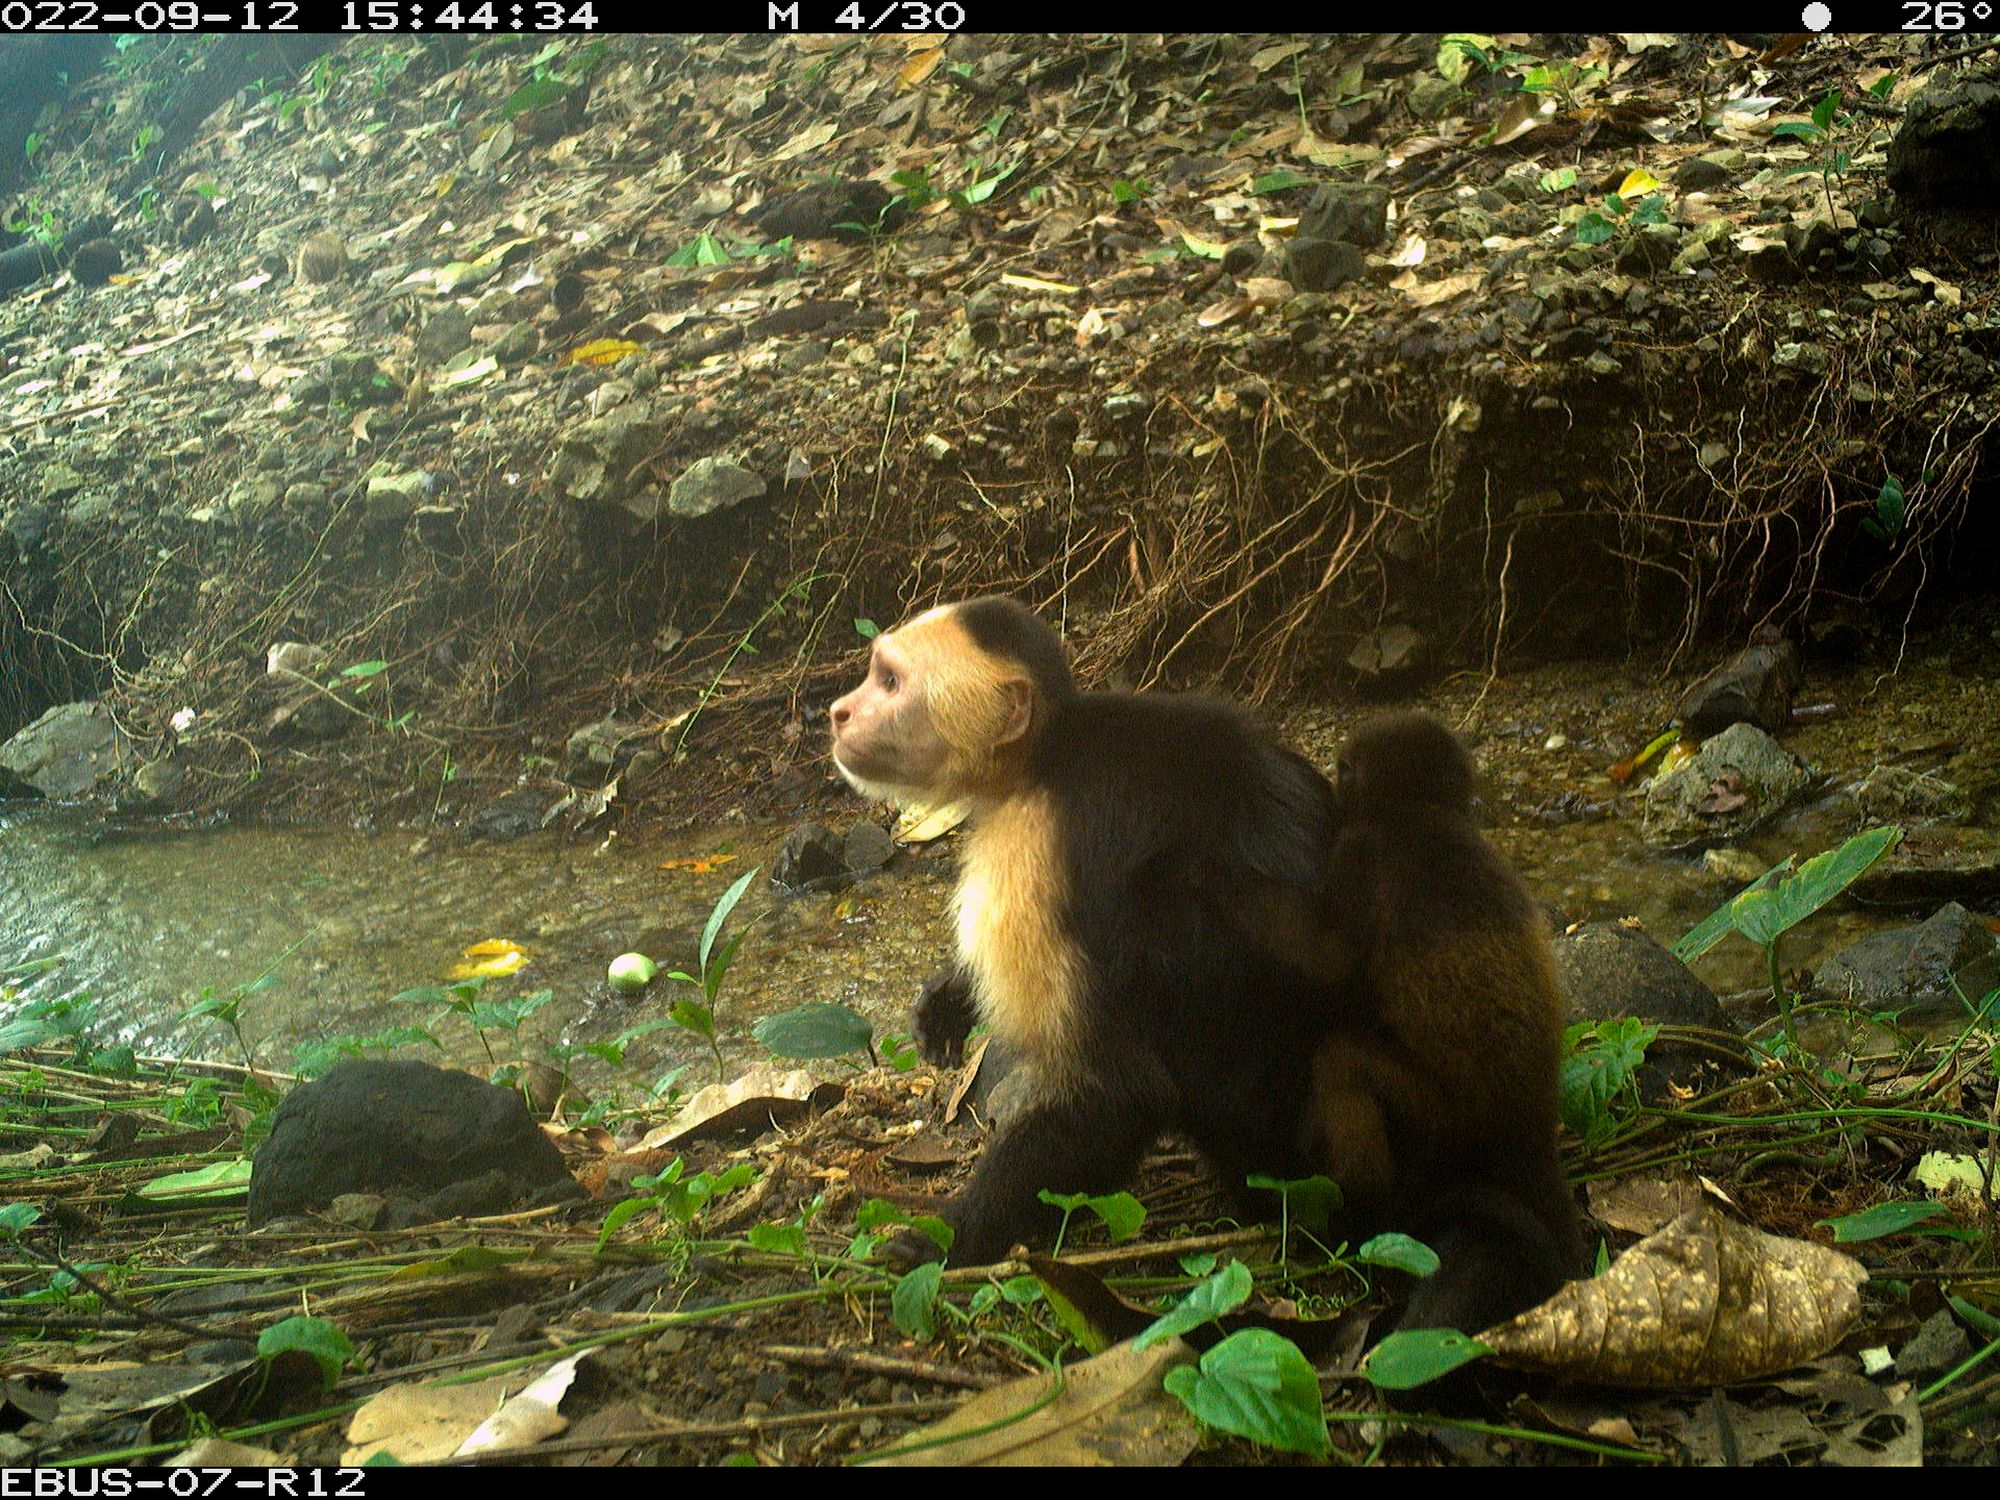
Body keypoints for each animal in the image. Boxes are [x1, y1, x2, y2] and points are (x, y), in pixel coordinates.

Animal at [828, 597, 1577, 1332]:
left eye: (888, 681)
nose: (837, 711)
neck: (1041, 758)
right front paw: (947, 999)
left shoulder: (1033, 854)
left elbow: (1120, 1092)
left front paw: (948, 1241)